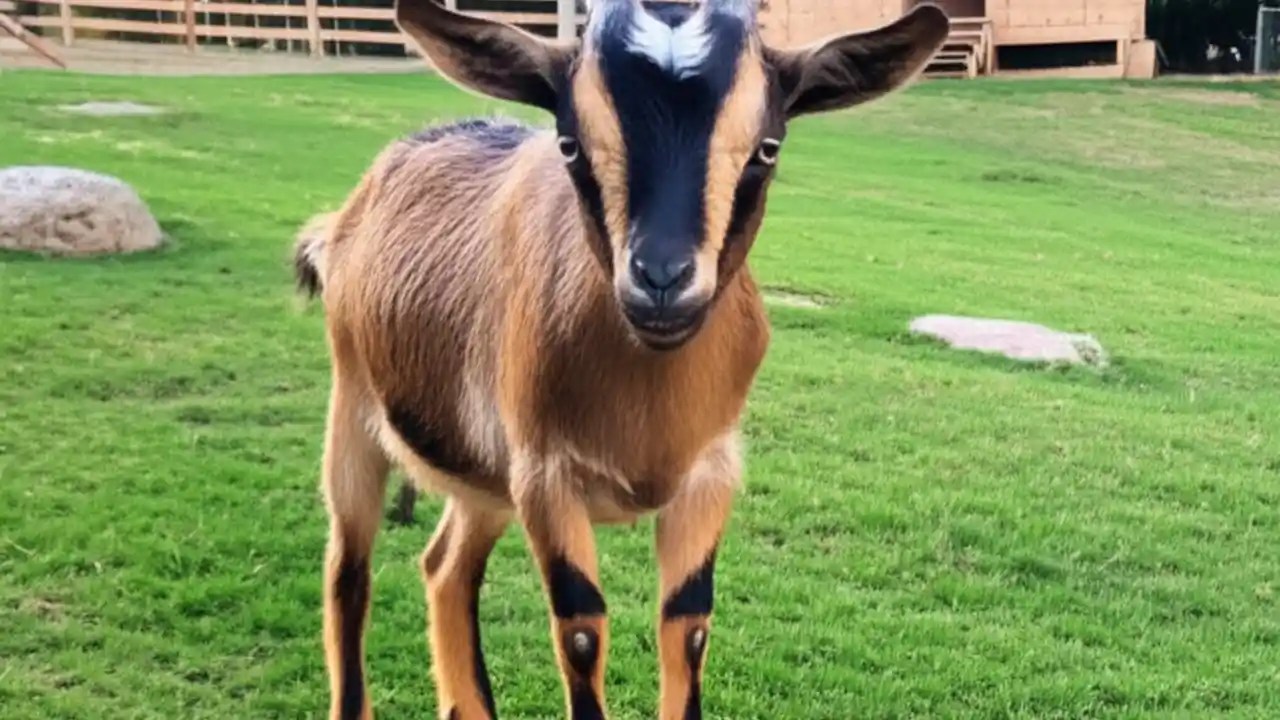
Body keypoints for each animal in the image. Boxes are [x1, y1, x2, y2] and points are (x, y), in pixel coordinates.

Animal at [294, 0, 947, 717]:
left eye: (768, 149)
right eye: (570, 143)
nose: (661, 280)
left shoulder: (710, 471)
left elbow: (689, 627)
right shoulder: (545, 476)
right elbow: (581, 632)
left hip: (483, 477)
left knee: (446, 568)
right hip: (355, 410)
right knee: (348, 570)